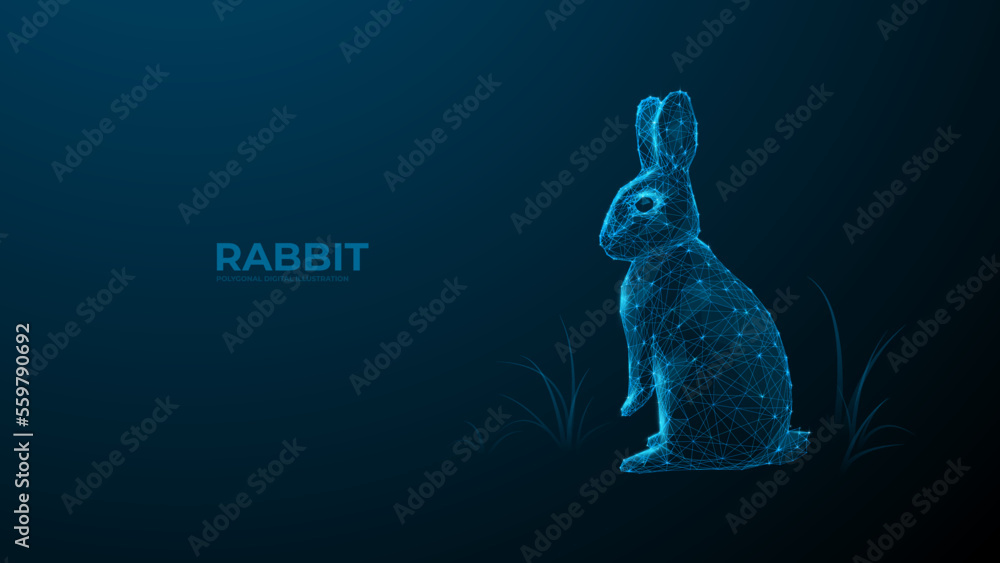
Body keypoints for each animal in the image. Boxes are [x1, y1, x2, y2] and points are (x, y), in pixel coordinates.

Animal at [599, 91, 809, 472]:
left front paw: (628, 409)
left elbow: (638, 372)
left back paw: (640, 461)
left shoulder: (644, 327)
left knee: (682, 455)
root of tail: (766, 452)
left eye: (644, 203)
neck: (665, 250)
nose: (605, 242)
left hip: (684, 389)